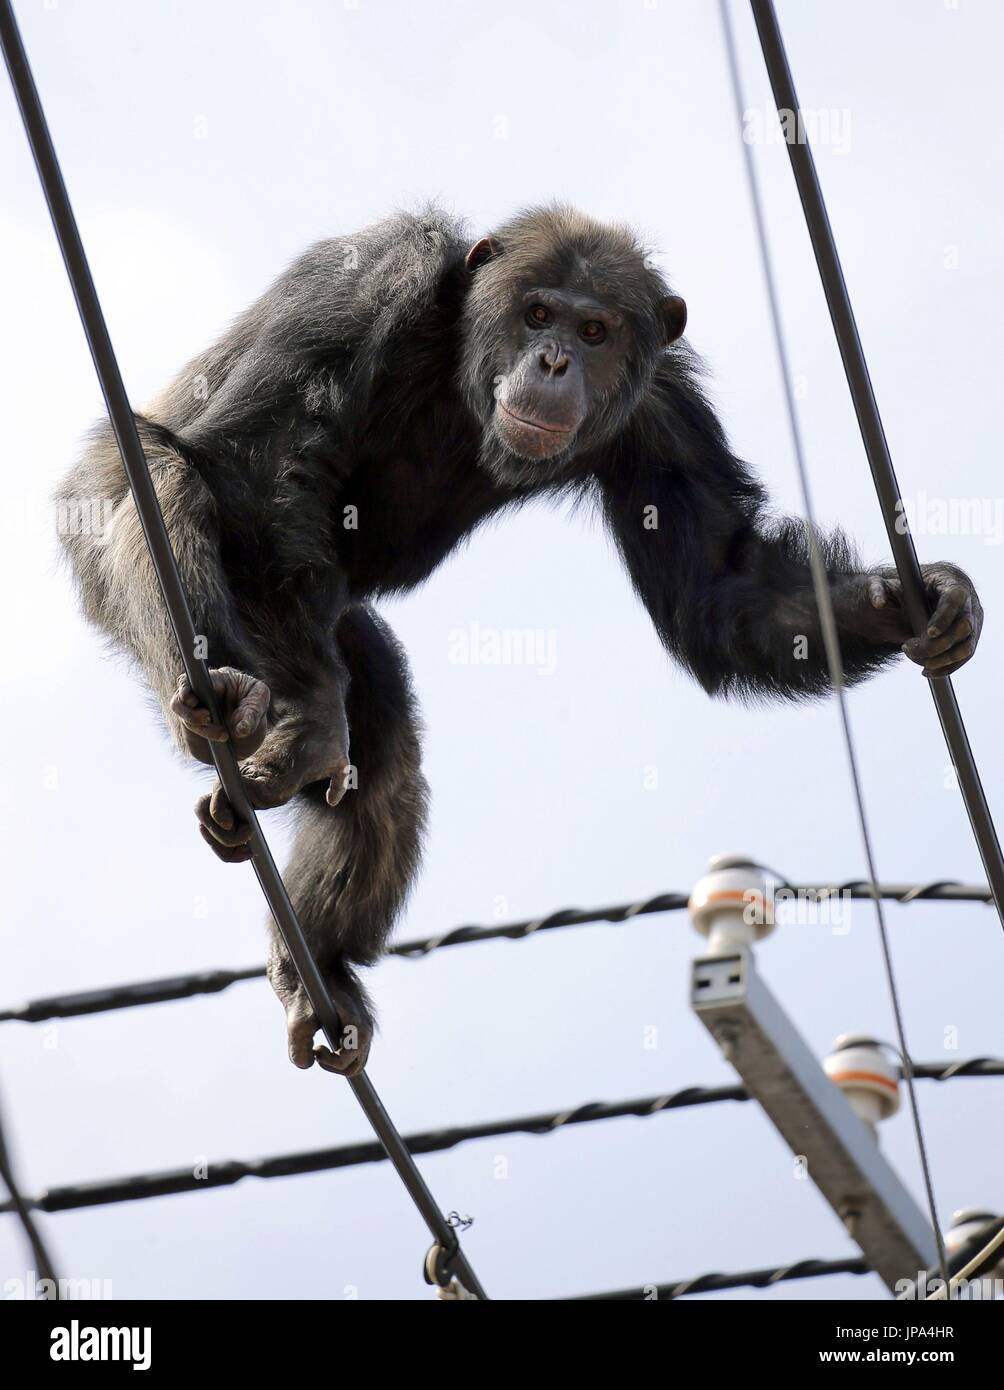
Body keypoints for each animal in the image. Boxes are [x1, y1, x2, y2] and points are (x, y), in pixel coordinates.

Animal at [57, 204, 983, 1075]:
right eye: (538, 312)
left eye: (595, 330)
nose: (554, 361)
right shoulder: (375, 276)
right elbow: (260, 460)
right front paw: (315, 721)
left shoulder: (663, 413)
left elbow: (720, 588)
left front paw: (912, 601)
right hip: (146, 550)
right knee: (168, 480)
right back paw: (245, 704)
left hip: (328, 624)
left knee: (384, 746)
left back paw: (317, 971)